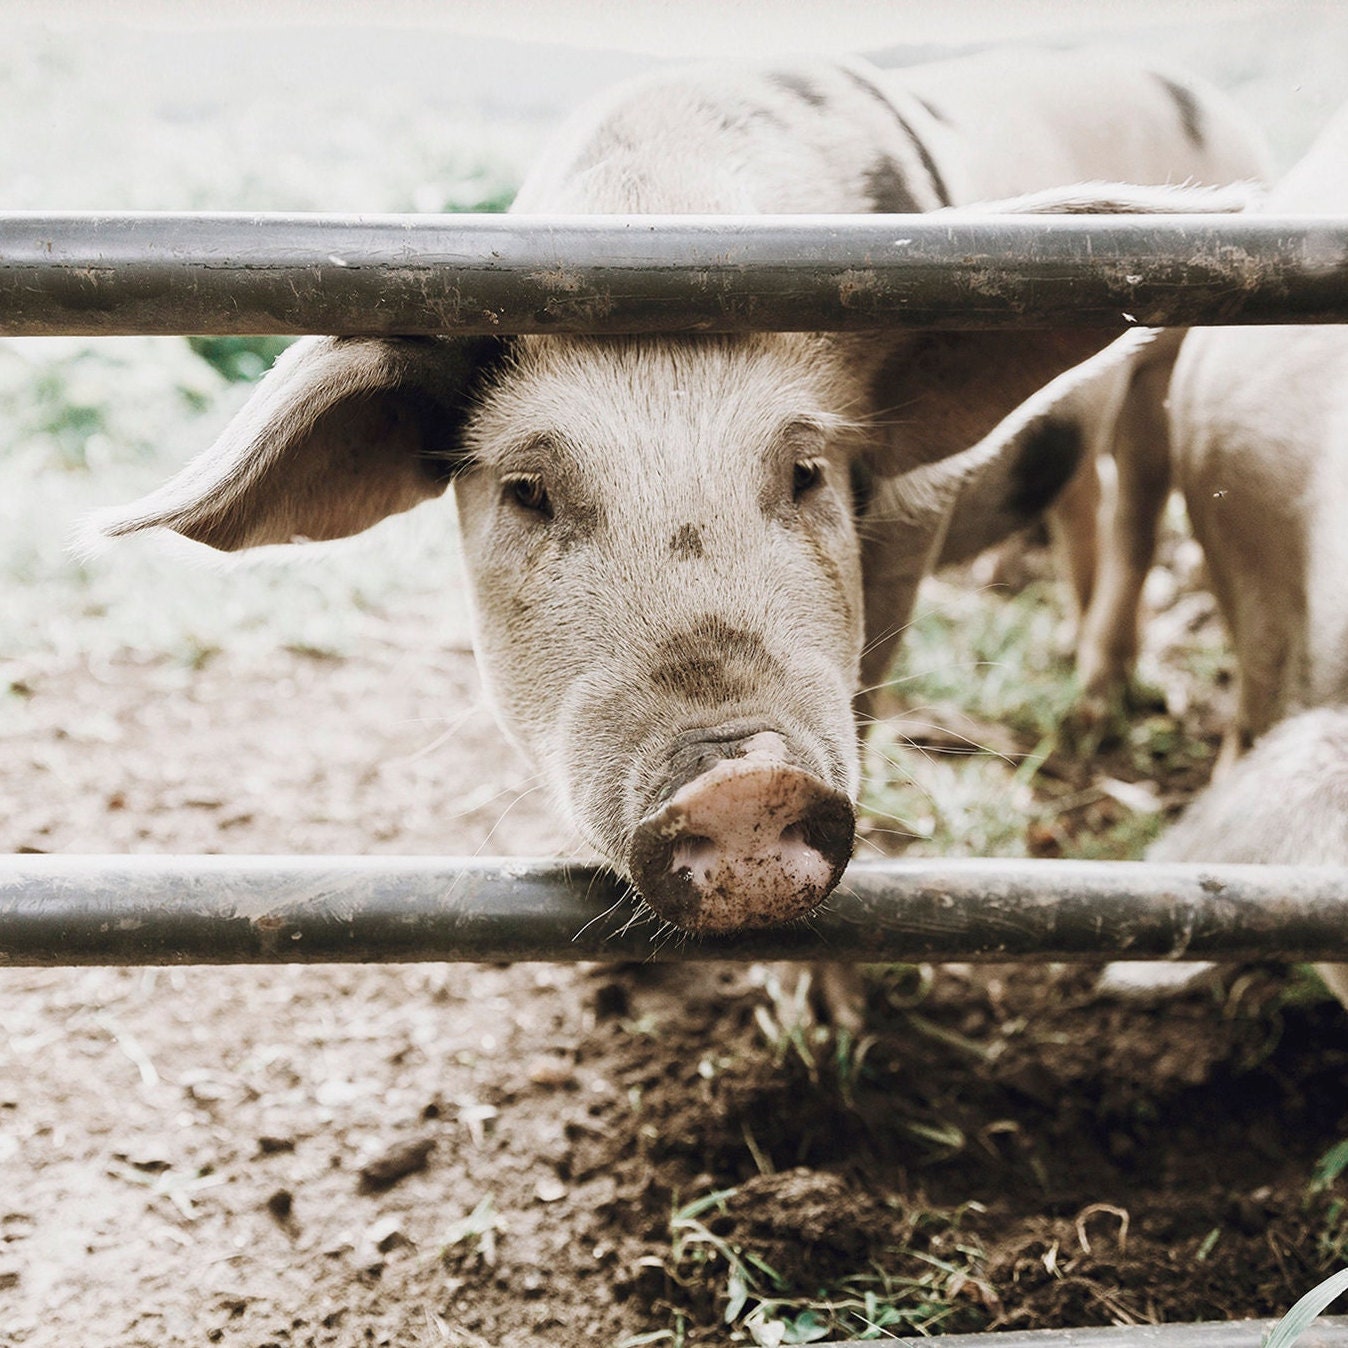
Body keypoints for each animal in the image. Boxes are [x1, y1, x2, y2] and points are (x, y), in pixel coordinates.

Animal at [94, 49, 1265, 939]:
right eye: (527, 490)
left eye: (805, 473)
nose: (739, 778)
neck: (668, 221)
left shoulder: (909, 516)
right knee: (1079, 497)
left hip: (1172, 366)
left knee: (1138, 497)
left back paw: (1097, 695)